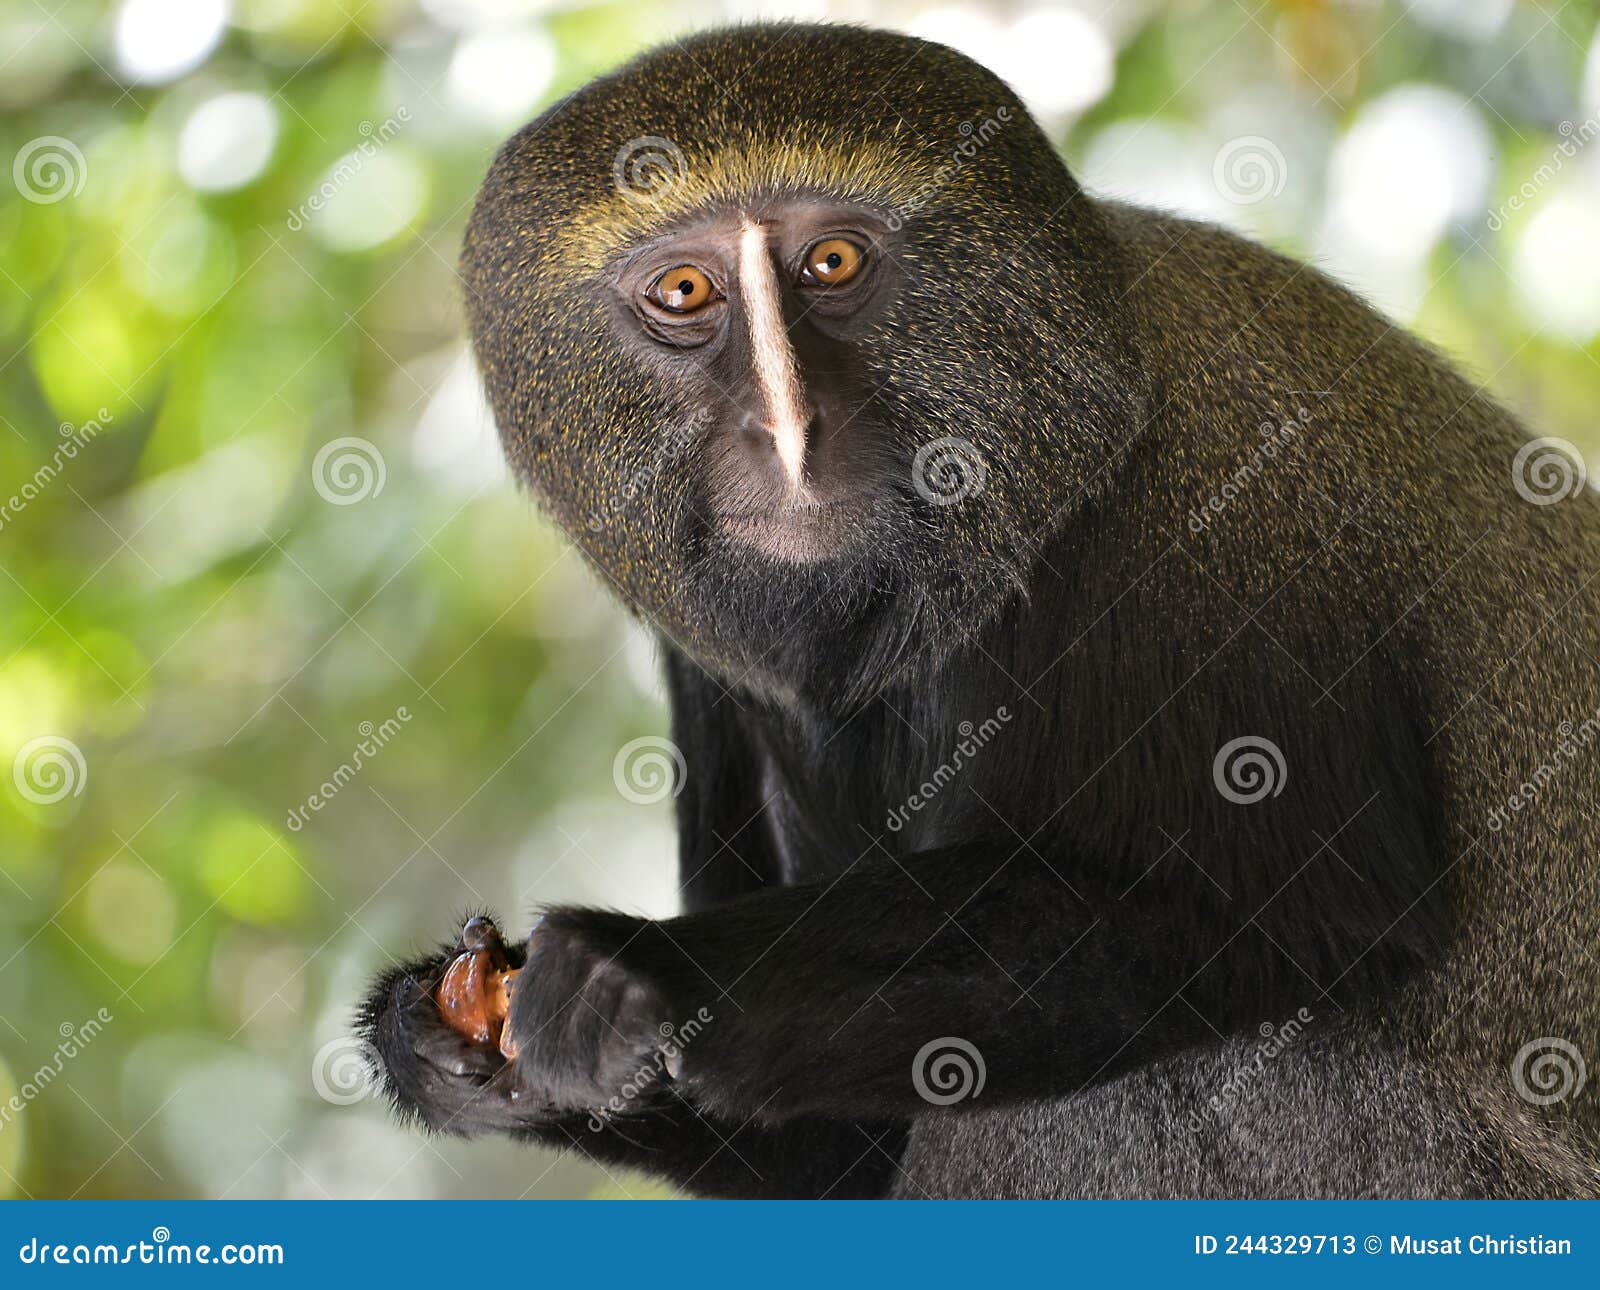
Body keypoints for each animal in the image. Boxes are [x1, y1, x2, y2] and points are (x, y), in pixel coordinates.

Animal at [358, 22, 1600, 1198]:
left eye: (831, 260)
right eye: (684, 292)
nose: (789, 427)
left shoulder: (1234, 496)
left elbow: (1291, 913)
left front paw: (652, 973)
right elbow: (839, 1153)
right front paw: (436, 1038)